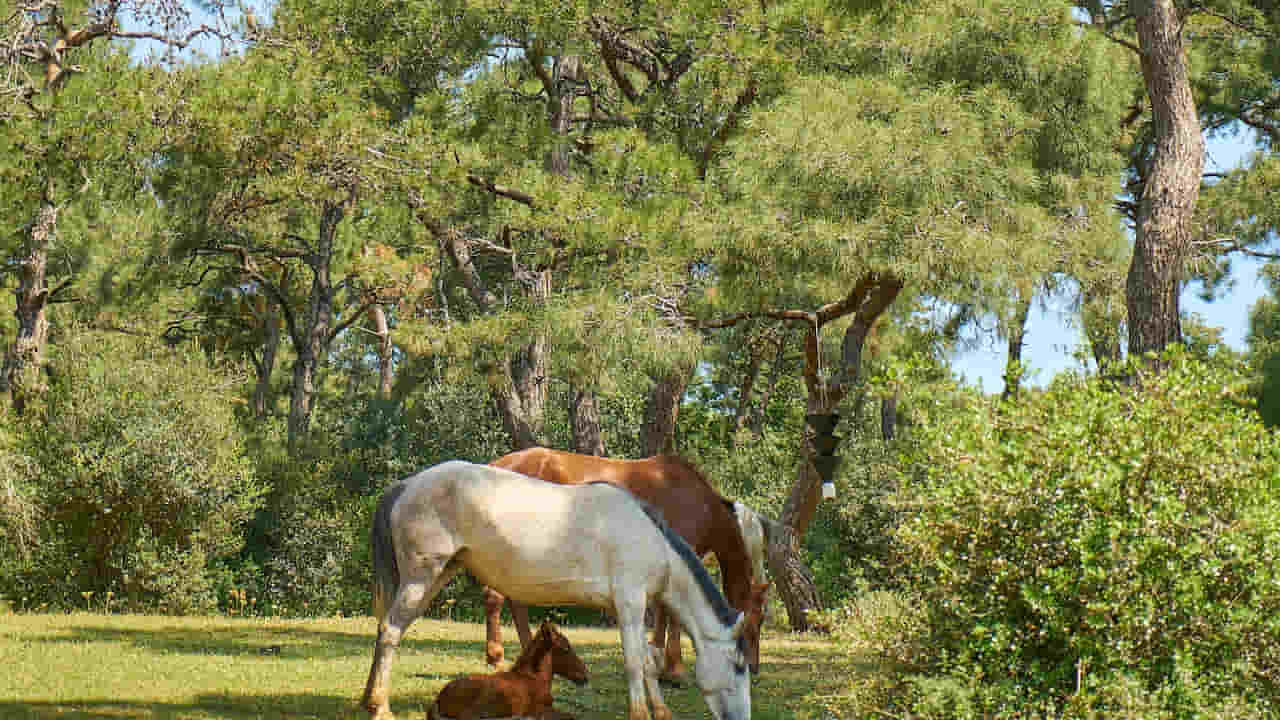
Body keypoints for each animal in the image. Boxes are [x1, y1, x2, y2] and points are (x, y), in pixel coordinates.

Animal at [427, 620, 587, 720]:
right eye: (566, 648)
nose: (585, 675)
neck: (534, 678)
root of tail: (439, 698)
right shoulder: (540, 711)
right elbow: (571, 716)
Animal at [483, 448, 769, 685]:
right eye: (755, 620)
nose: (754, 667)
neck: (702, 505)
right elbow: (673, 615)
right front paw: (674, 670)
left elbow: (664, 613)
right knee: (496, 598)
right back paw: (498, 657)